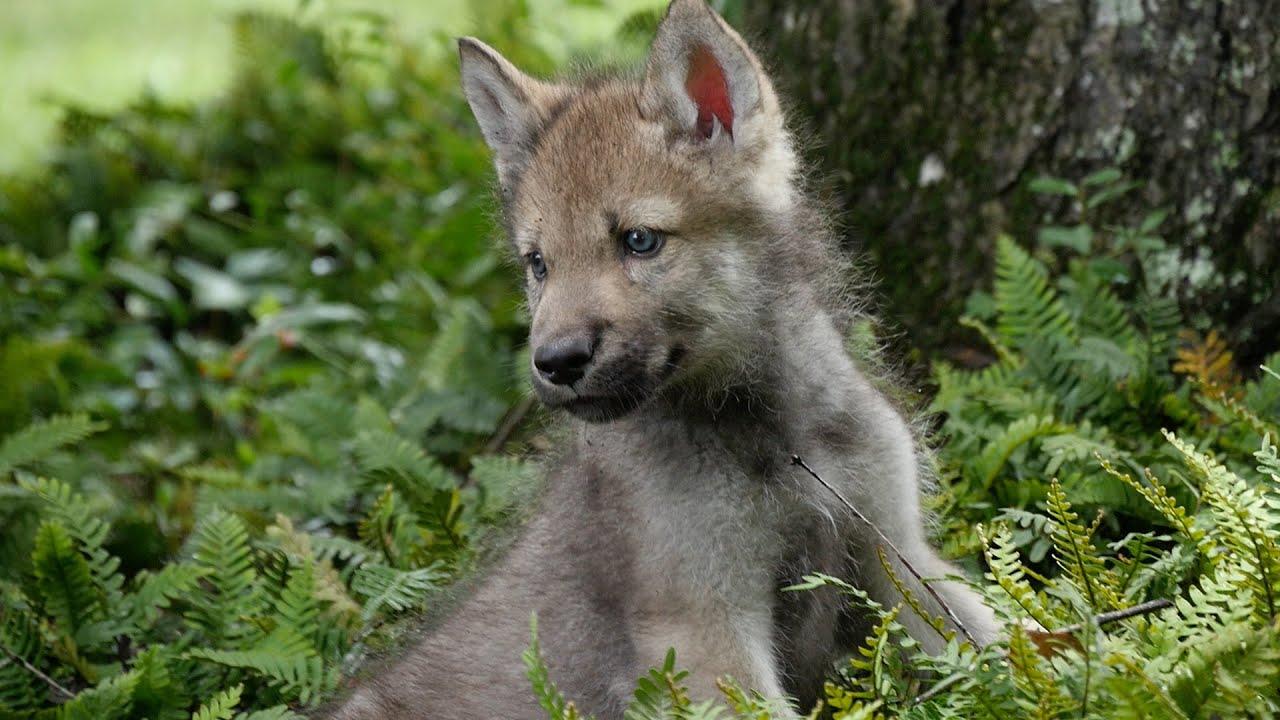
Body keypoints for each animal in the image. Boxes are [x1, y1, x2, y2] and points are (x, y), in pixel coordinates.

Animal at [329, 1, 999, 717]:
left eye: (640, 240)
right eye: (539, 263)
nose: (555, 362)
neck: (775, 435)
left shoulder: (900, 556)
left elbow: (1021, 643)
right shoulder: (706, 630)